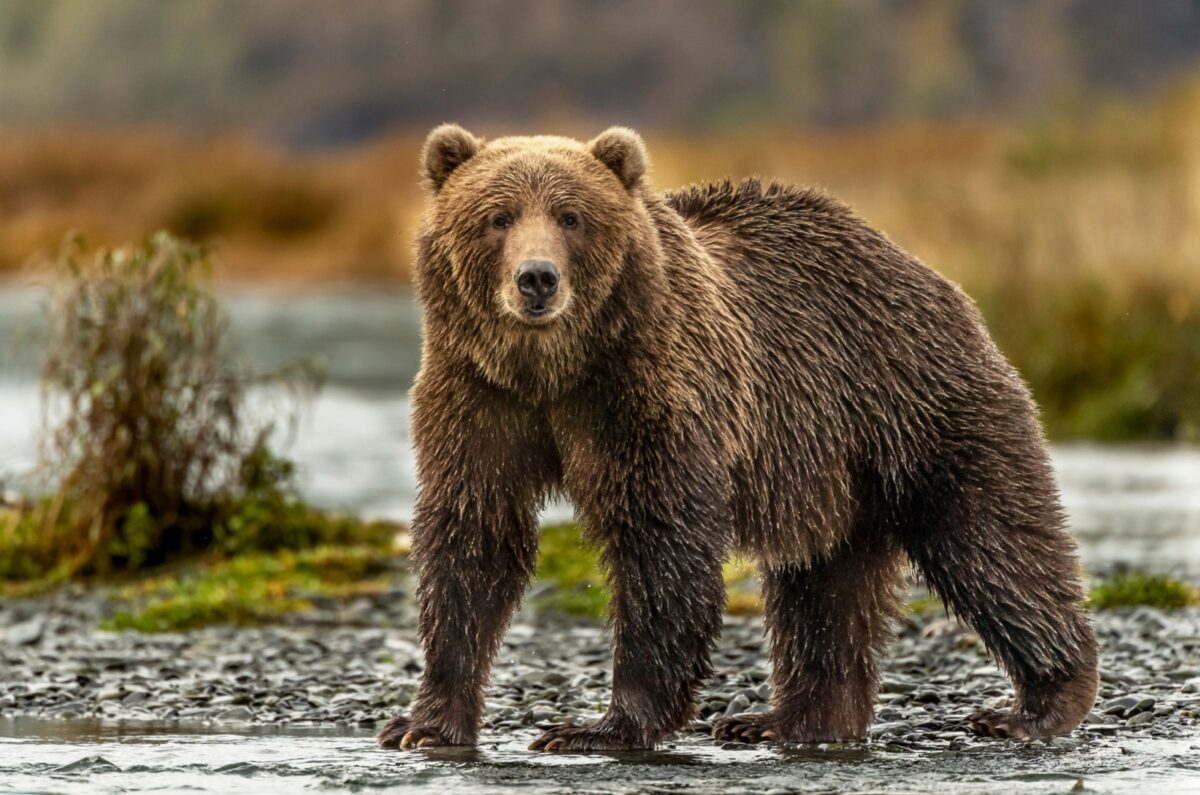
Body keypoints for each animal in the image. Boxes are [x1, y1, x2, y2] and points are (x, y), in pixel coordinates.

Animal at [377, 124, 1099, 752]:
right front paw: (424, 723)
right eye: (498, 216)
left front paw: (598, 726)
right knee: (823, 585)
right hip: (829, 468)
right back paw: (788, 718)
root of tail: (926, 272)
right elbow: (474, 537)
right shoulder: (477, 397)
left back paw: (1034, 703)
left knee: (989, 539)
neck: (554, 370)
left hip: (913, 400)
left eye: (571, 216)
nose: (536, 278)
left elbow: (660, 542)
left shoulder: (649, 394)